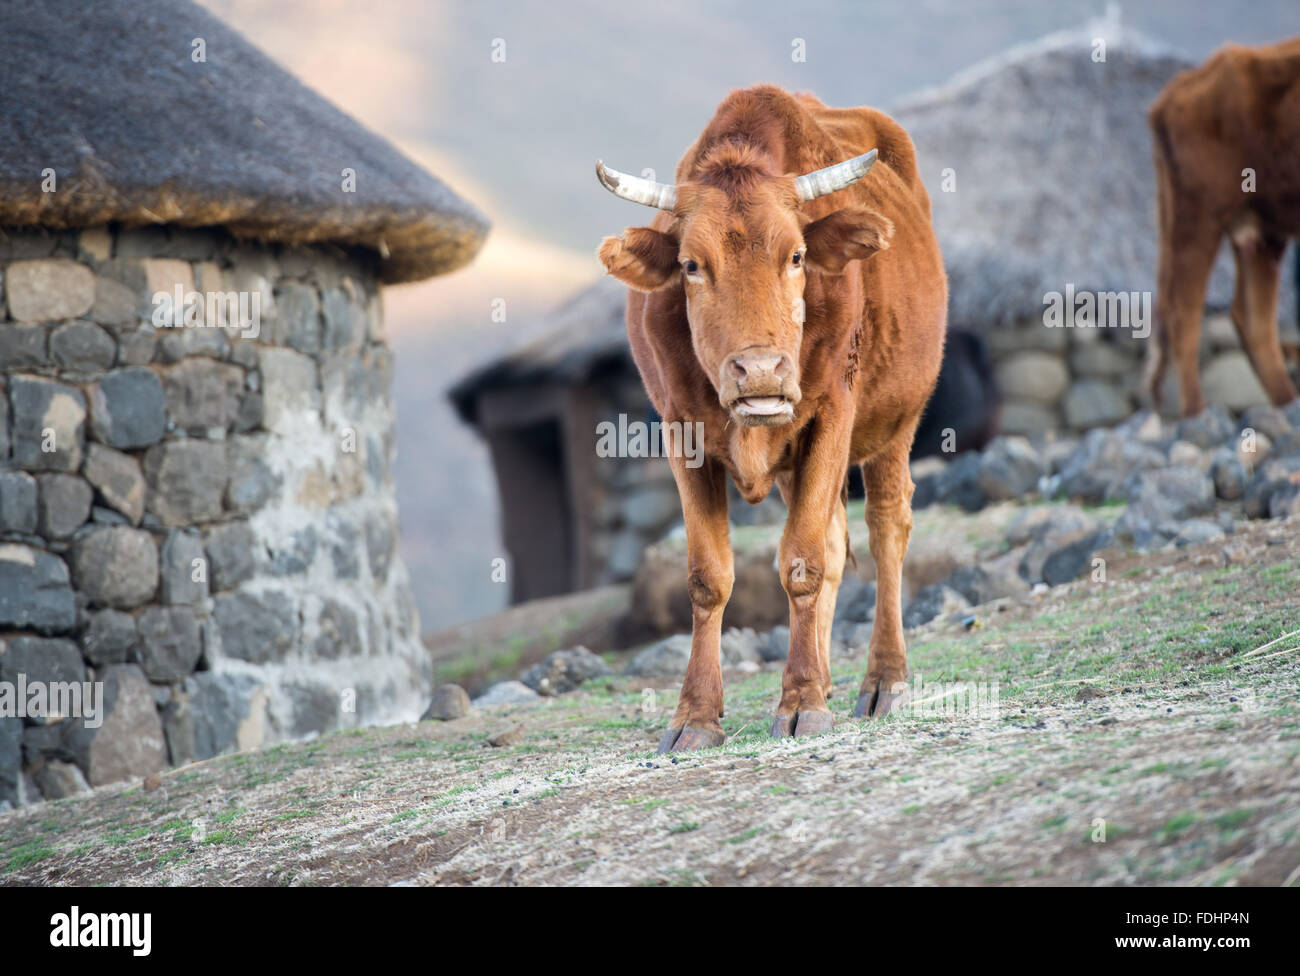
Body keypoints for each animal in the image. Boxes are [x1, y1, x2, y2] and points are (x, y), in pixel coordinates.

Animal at [596, 85, 946, 751]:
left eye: (798, 256)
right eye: (691, 265)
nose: (759, 372)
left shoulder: (833, 413)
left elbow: (802, 563)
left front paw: (802, 703)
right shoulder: (681, 432)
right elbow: (709, 575)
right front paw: (696, 716)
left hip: (897, 422)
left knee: (886, 528)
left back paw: (883, 681)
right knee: (835, 539)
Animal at [1147, 36, 1300, 416]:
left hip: (1261, 229)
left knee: (1253, 319)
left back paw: (1287, 402)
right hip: (1200, 216)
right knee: (1184, 310)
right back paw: (1197, 411)